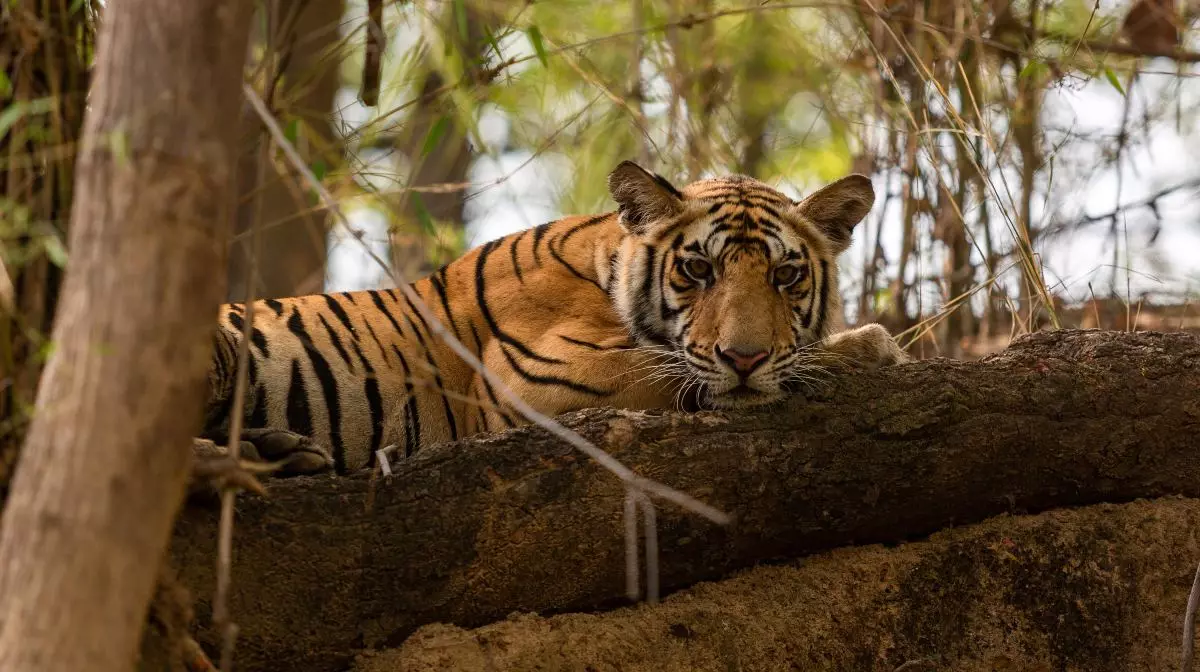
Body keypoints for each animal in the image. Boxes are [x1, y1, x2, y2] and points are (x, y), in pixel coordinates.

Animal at [199, 159, 907, 475]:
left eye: (786, 276)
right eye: (697, 269)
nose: (745, 357)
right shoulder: (541, 378)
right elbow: (673, 369)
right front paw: (872, 345)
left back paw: (282, 452)